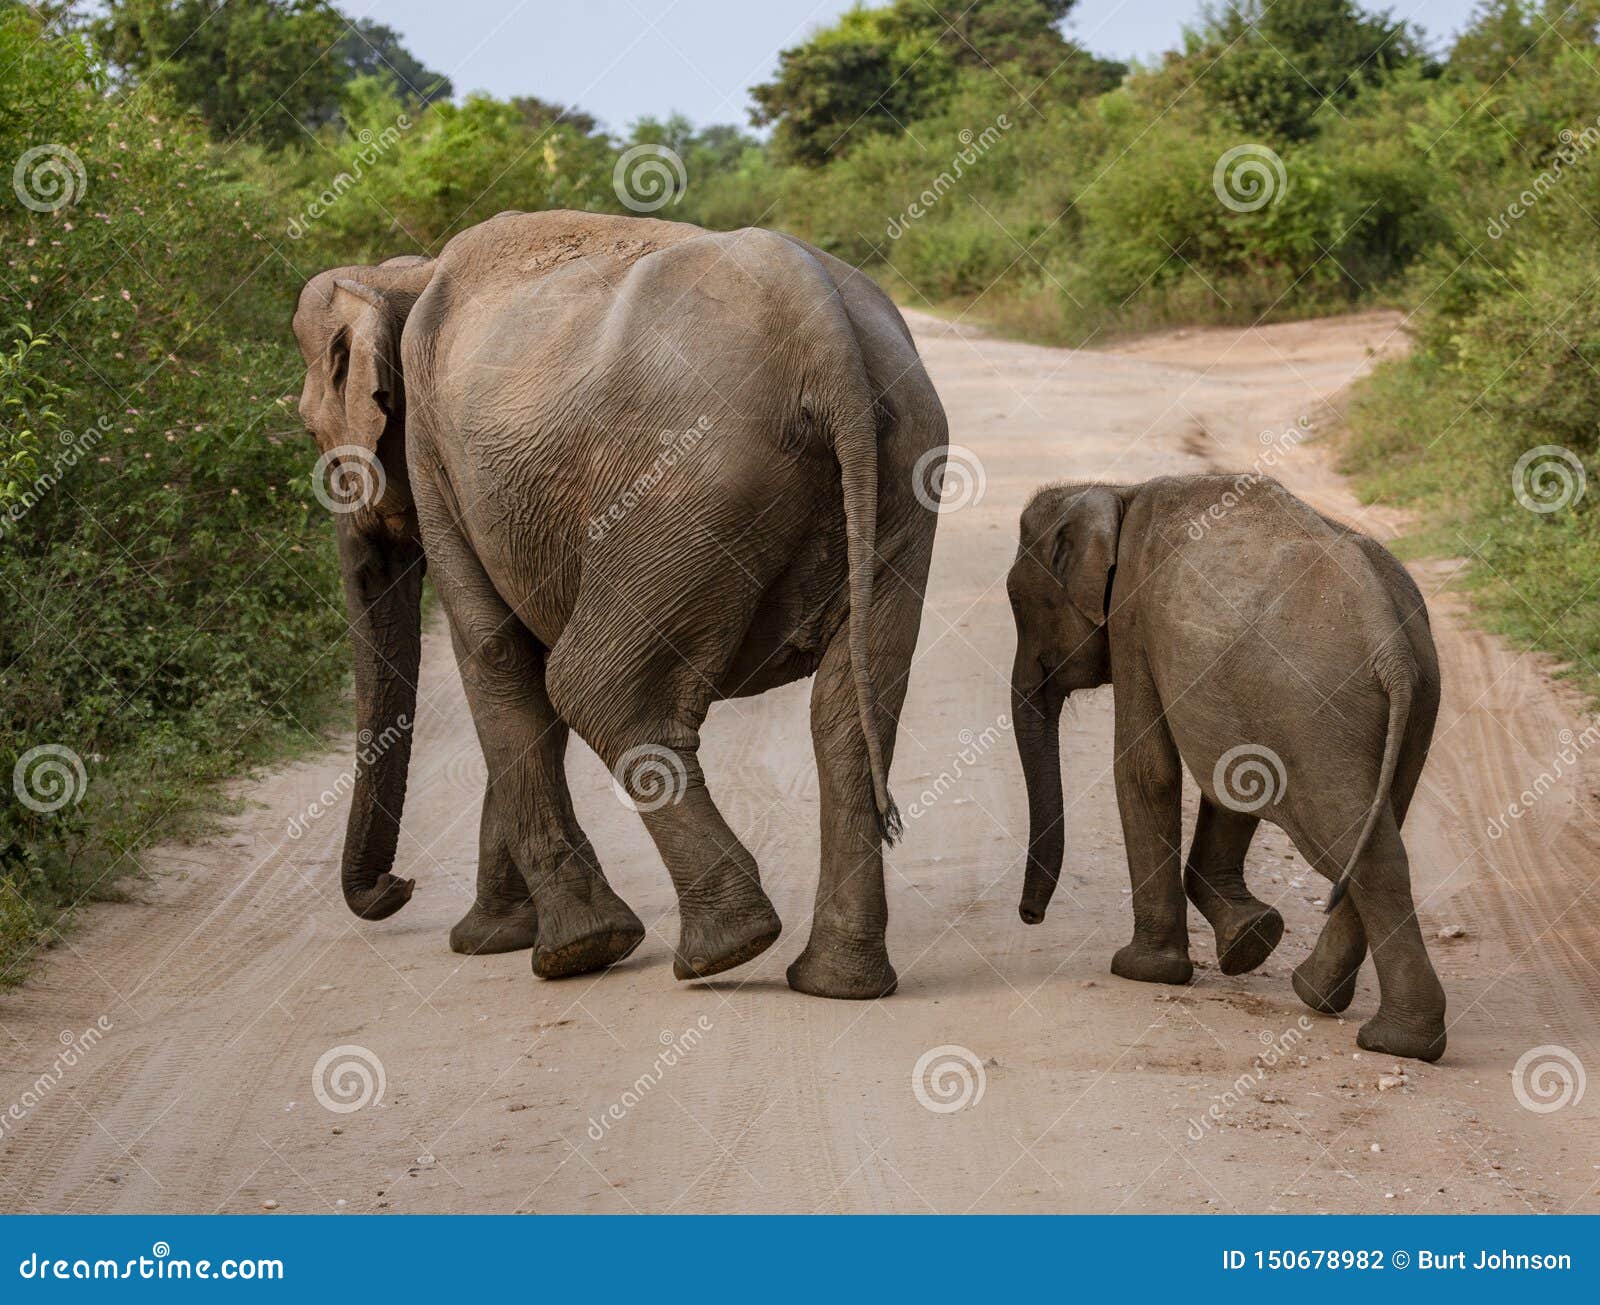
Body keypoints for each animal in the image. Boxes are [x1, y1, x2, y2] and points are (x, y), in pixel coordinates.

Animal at [290, 210, 947, 999]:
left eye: (314, 436)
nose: (399, 887)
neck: (401, 275)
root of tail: (823, 330)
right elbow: (522, 682)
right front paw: (496, 939)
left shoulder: (433, 456)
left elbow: (497, 657)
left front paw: (563, 950)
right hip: (902, 467)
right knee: (851, 706)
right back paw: (836, 984)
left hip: (688, 487)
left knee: (594, 686)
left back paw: (723, 950)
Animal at [1006, 475, 1447, 1061]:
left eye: (1017, 601)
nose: (1029, 917)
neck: (1116, 491)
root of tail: (1391, 643)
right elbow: (1236, 776)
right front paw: (1249, 939)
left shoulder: (1132, 614)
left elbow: (1147, 767)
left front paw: (1143, 971)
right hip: (1412, 701)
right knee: (1378, 835)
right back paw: (1324, 999)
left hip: (1317, 711)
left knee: (1358, 846)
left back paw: (1392, 1041)